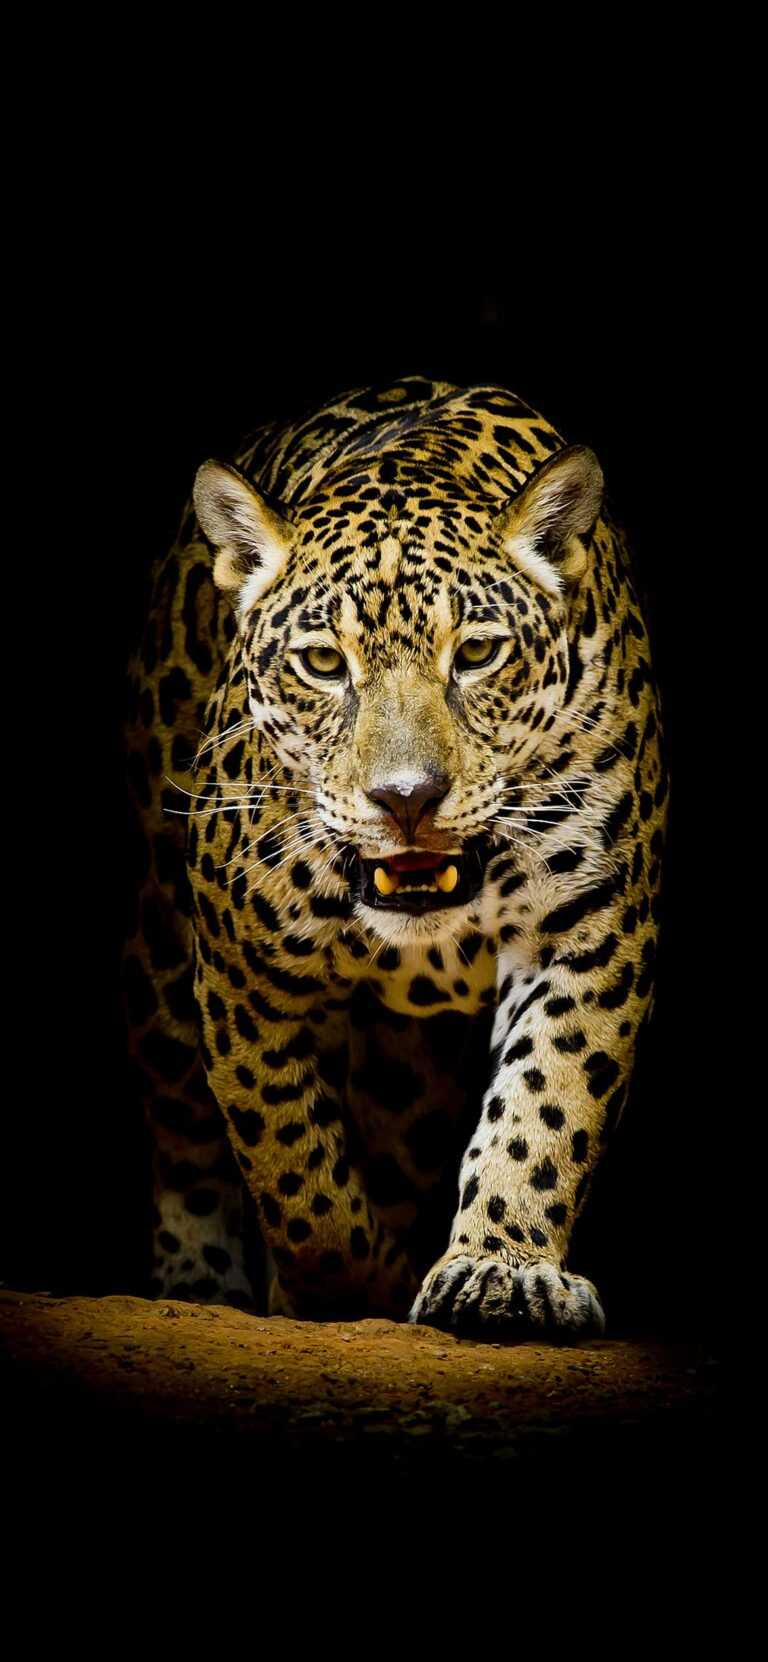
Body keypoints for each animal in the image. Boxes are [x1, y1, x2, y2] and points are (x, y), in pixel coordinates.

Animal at [123, 373, 668, 1339]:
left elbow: (548, 1100)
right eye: (322, 663)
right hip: (158, 958)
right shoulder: (241, 971)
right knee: (184, 1130)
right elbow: (291, 1160)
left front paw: (500, 1270)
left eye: (478, 653)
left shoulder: (590, 931)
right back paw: (197, 1280)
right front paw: (344, 1287)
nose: (407, 798)